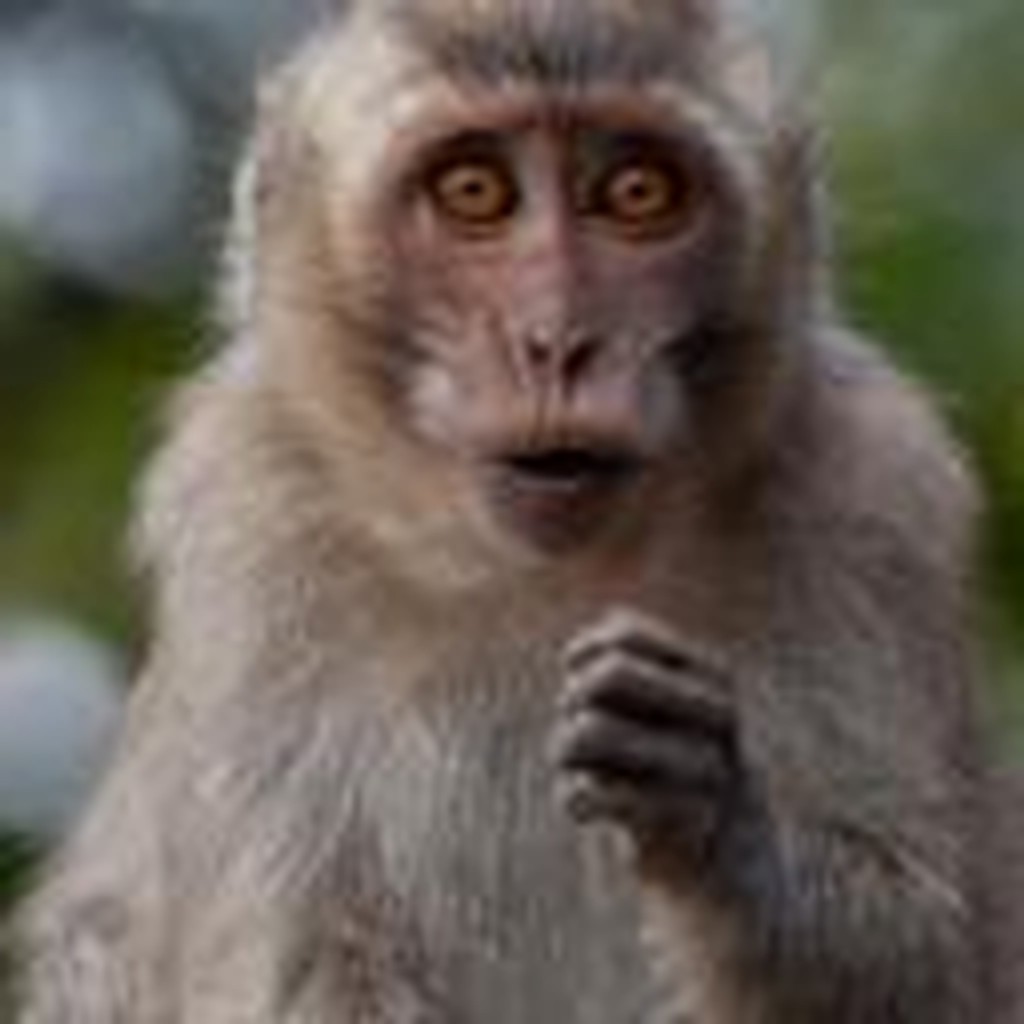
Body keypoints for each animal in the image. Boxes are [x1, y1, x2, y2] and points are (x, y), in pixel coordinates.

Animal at [13, 0, 1018, 1021]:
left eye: (638, 193)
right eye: (473, 191)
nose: (560, 341)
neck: (540, 578)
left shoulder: (875, 491)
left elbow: (940, 965)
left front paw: (720, 829)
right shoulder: (248, 519)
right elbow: (310, 966)